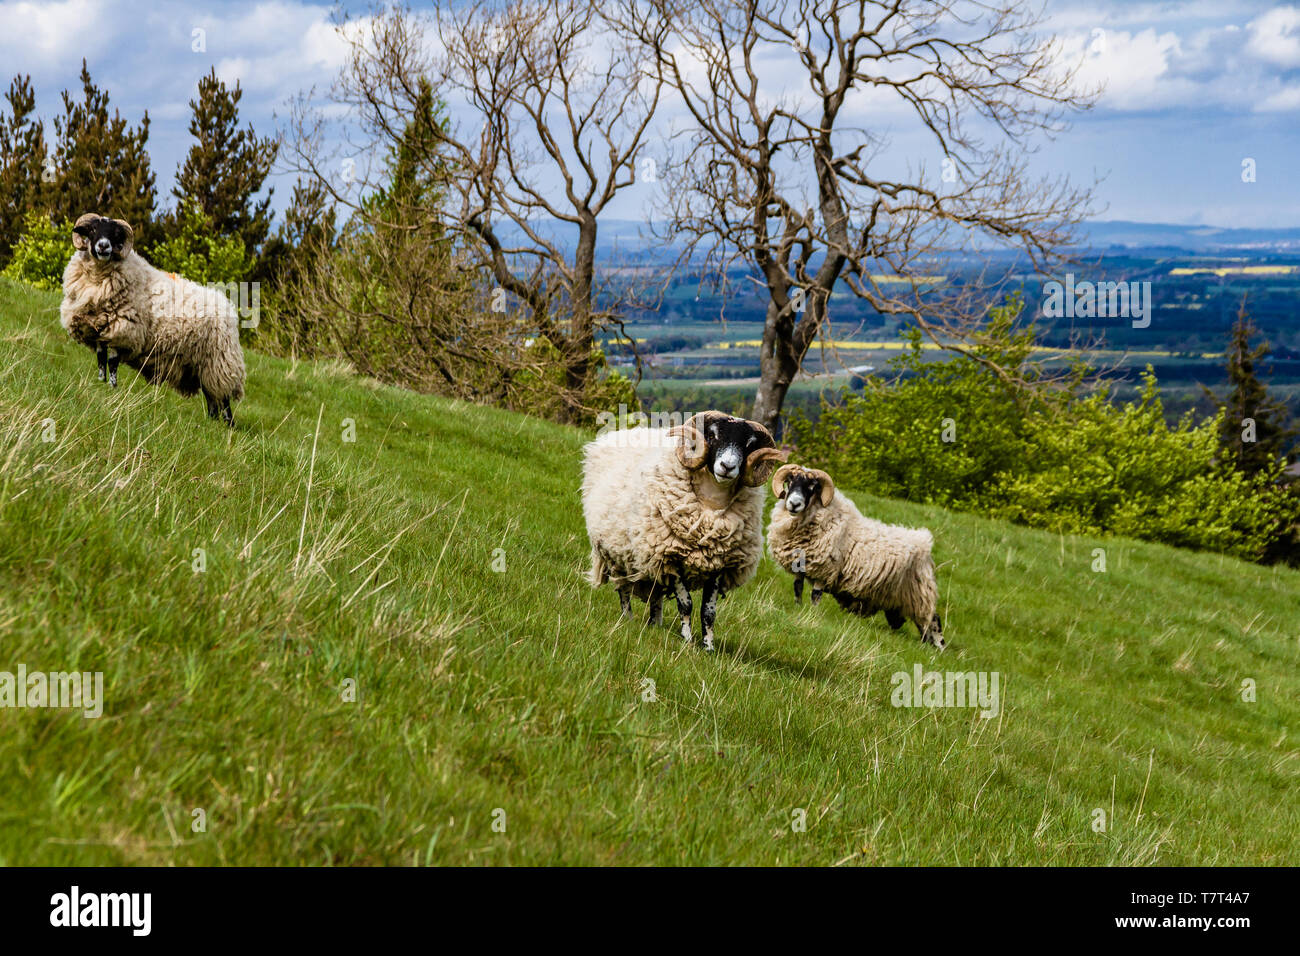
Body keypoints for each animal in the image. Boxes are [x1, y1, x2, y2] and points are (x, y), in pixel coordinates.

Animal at [59, 213, 245, 425]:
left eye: (116, 234)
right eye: (92, 230)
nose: (103, 246)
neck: (98, 277)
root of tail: (227, 305)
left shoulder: (122, 332)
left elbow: (112, 363)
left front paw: (112, 387)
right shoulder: (101, 331)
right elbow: (101, 359)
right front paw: (100, 382)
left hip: (220, 363)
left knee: (223, 399)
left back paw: (228, 424)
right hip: (203, 367)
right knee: (212, 398)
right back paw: (211, 422)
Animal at [581, 411, 788, 650]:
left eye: (750, 444)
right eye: (711, 435)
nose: (727, 467)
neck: (710, 508)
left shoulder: (718, 563)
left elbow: (708, 611)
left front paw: (708, 647)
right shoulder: (672, 556)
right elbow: (686, 603)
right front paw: (687, 641)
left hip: (651, 560)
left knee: (656, 593)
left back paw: (655, 624)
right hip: (614, 553)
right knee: (623, 589)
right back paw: (628, 619)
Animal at [767, 464, 946, 650]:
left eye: (812, 487)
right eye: (790, 481)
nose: (794, 504)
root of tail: (925, 542)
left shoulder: (825, 571)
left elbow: (815, 596)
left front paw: (812, 613)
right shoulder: (800, 567)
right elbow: (797, 589)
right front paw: (798, 608)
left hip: (920, 594)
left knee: (933, 620)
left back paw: (939, 648)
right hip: (901, 599)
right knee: (921, 624)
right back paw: (926, 644)